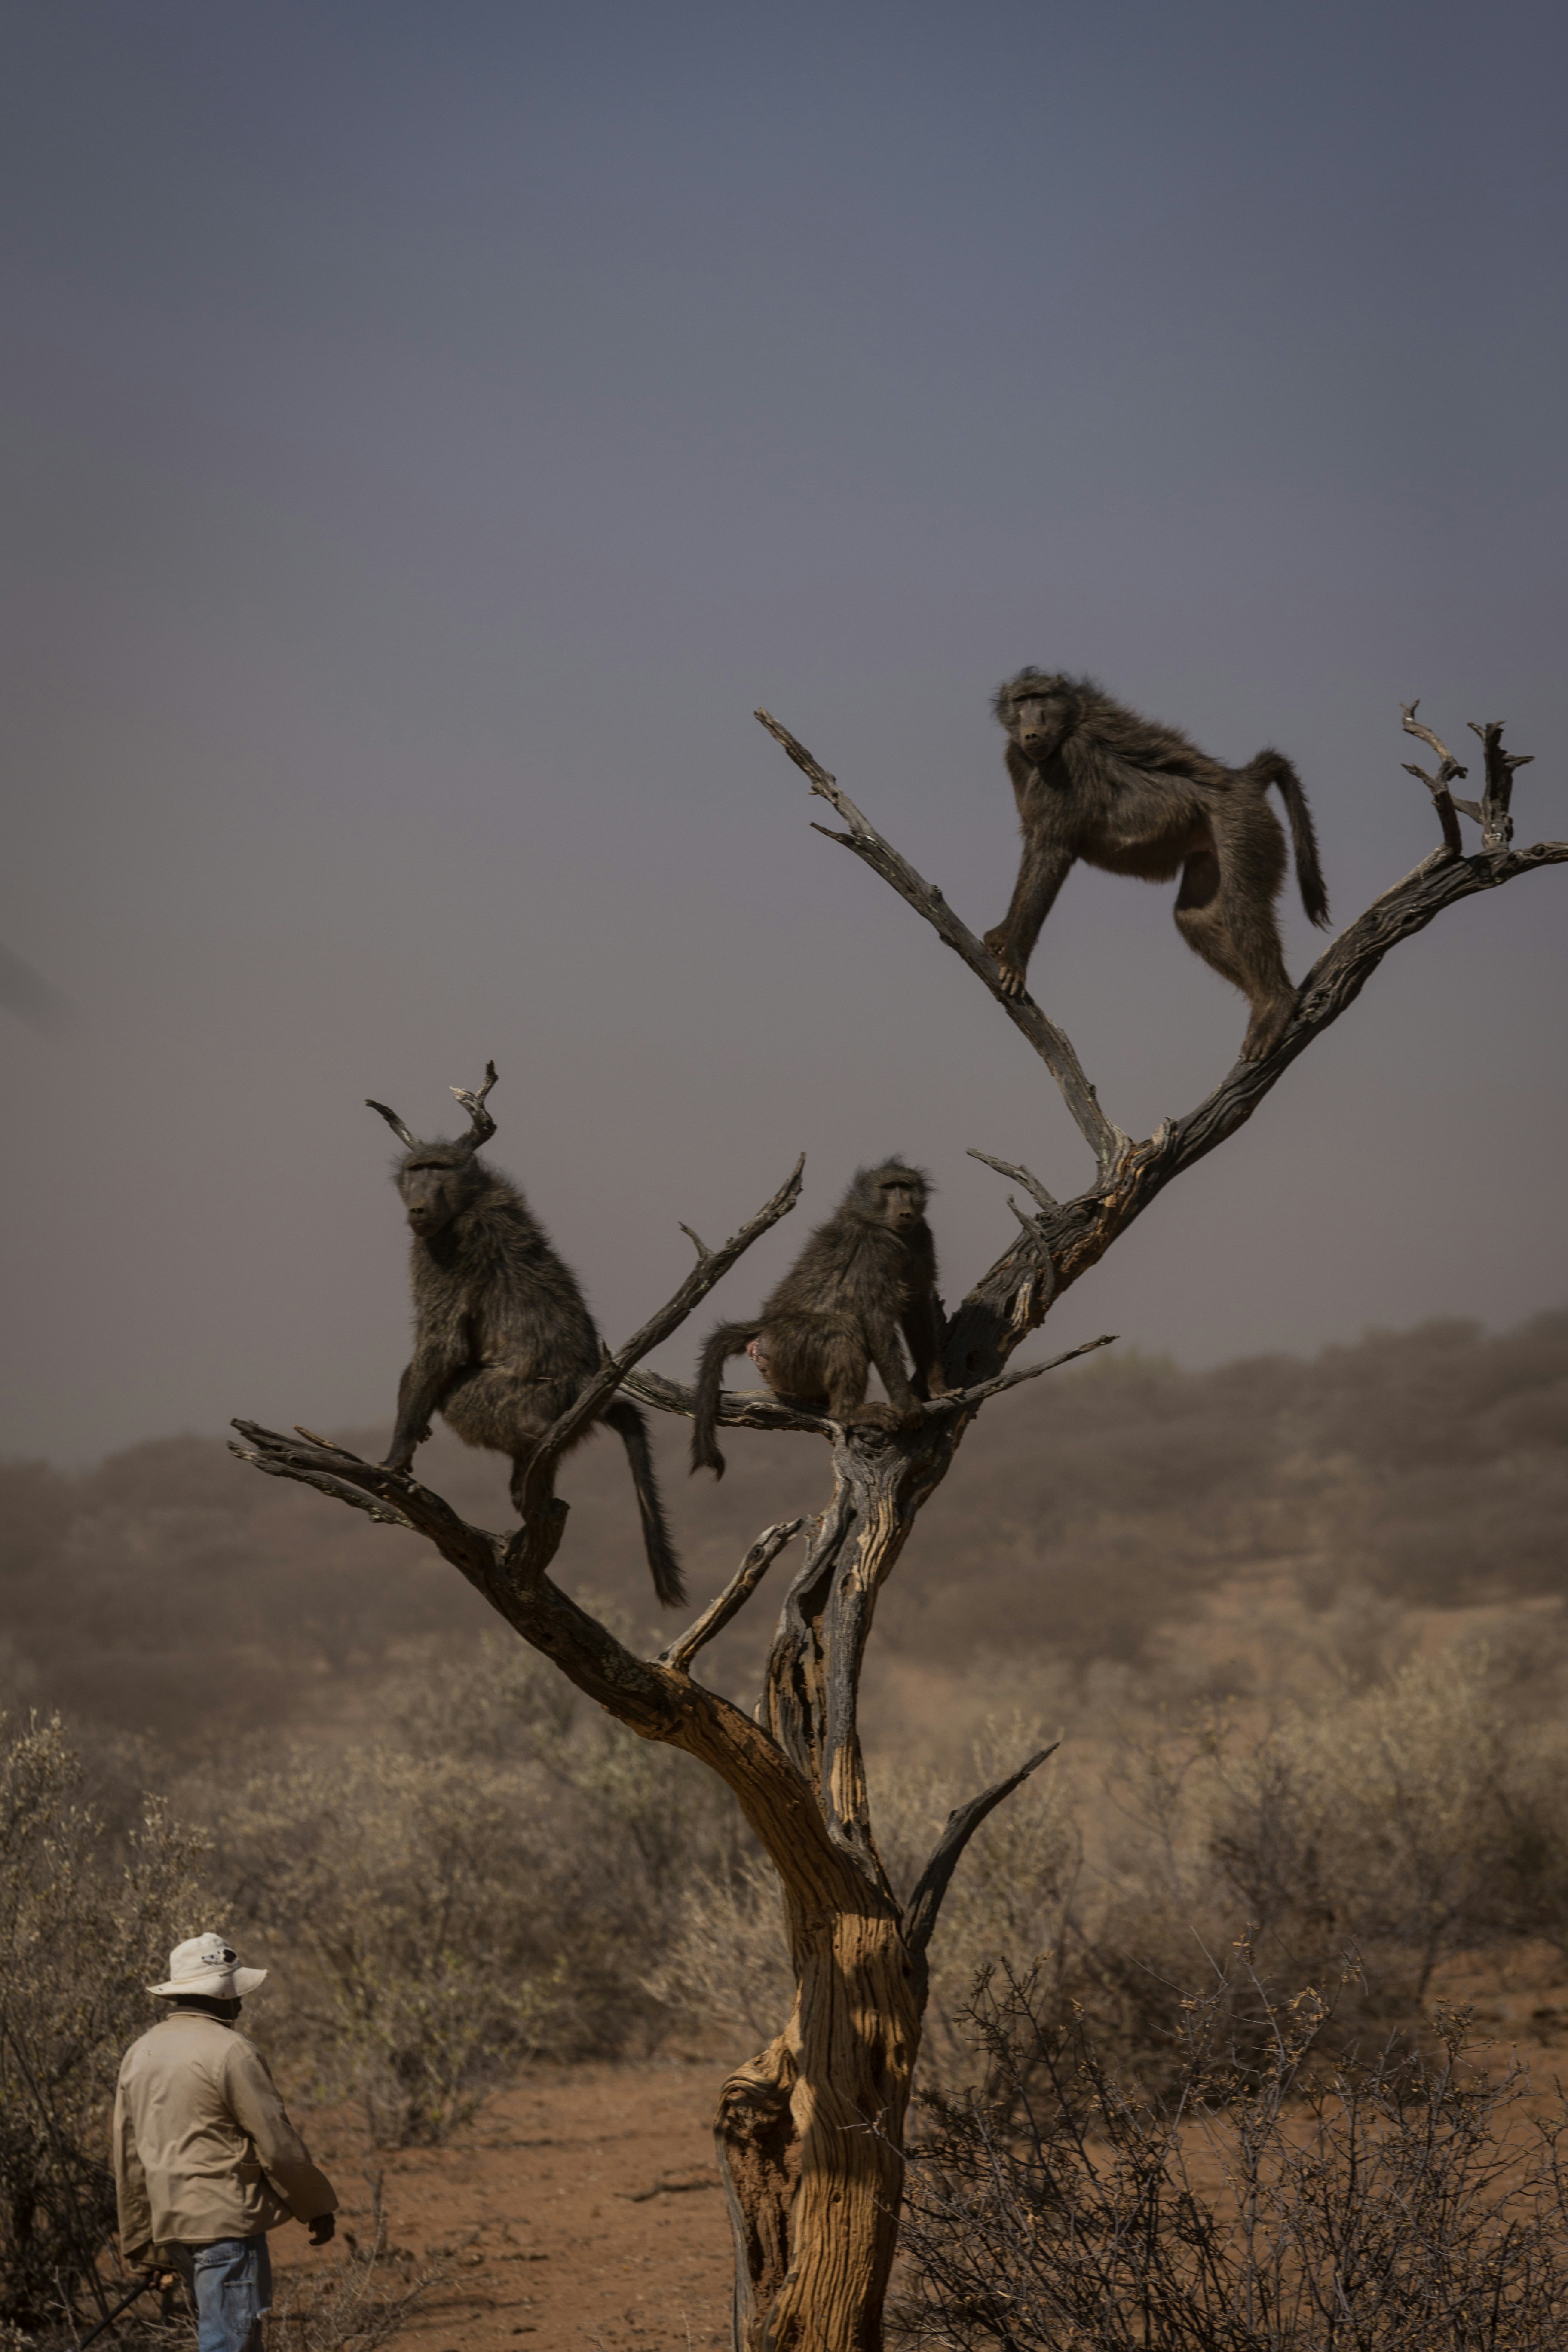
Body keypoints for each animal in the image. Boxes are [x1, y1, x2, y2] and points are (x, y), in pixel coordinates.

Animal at [367, 1063, 685, 1609]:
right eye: (416, 1169)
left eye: (439, 1168)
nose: (419, 1210)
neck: (472, 1198)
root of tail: (584, 1394)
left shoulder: (444, 1250)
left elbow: (443, 1348)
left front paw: (396, 1455)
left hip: (510, 1406)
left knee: (461, 1397)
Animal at [690, 1161, 949, 1480]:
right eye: (889, 1188)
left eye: (907, 1186)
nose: (905, 1212)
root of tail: (764, 1327)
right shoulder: (874, 1249)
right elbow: (875, 1318)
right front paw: (907, 1406)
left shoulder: (922, 1235)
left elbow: (918, 1309)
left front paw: (939, 1388)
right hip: (786, 1353)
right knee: (843, 1327)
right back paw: (849, 1412)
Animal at [982, 670, 1331, 1060]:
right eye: (1021, 701)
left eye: (1040, 698)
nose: (1031, 734)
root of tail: (1244, 779)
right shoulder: (1016, 758)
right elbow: (1033, 847)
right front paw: (1002, 935)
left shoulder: (1070, 761)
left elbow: (1051, 851)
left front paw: (1015, 960)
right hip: (1213, 846)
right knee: (1194, 918)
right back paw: (1264, 1005)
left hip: (1243, 823)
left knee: (1241, 905)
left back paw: (1277, 1004)